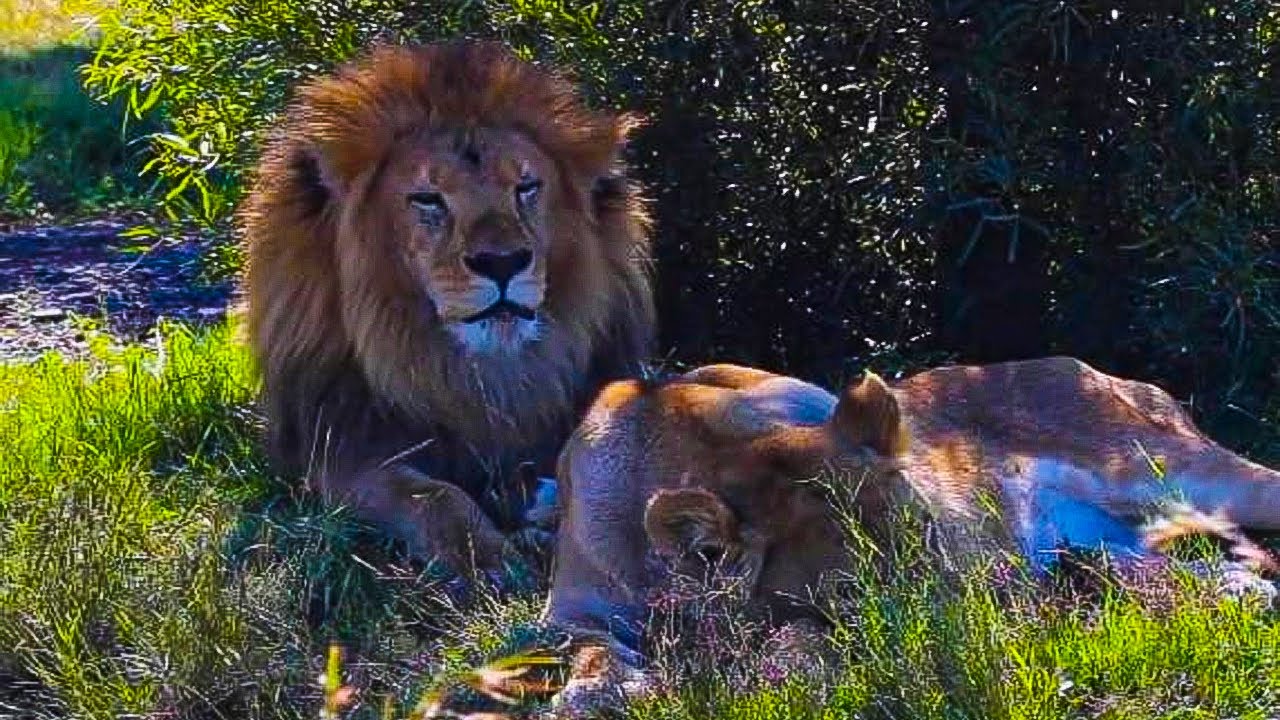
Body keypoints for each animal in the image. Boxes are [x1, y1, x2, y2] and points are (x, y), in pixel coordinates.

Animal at [236, 40, 655, 579]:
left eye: (525, 188)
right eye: (427, 198)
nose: (502, 262)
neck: (473, 376)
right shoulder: (343, 448)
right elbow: (429, 495)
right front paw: (489, 557)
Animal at [532, 357, 1279, 714]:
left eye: (936, 542)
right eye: (851, 596)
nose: (998, 635)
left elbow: (792, 642)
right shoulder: (570, 616)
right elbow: (587, 653)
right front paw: (593, 695)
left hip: (1187, 472)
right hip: (1104, 547)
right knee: (1209, 573)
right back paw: (1242, 594)